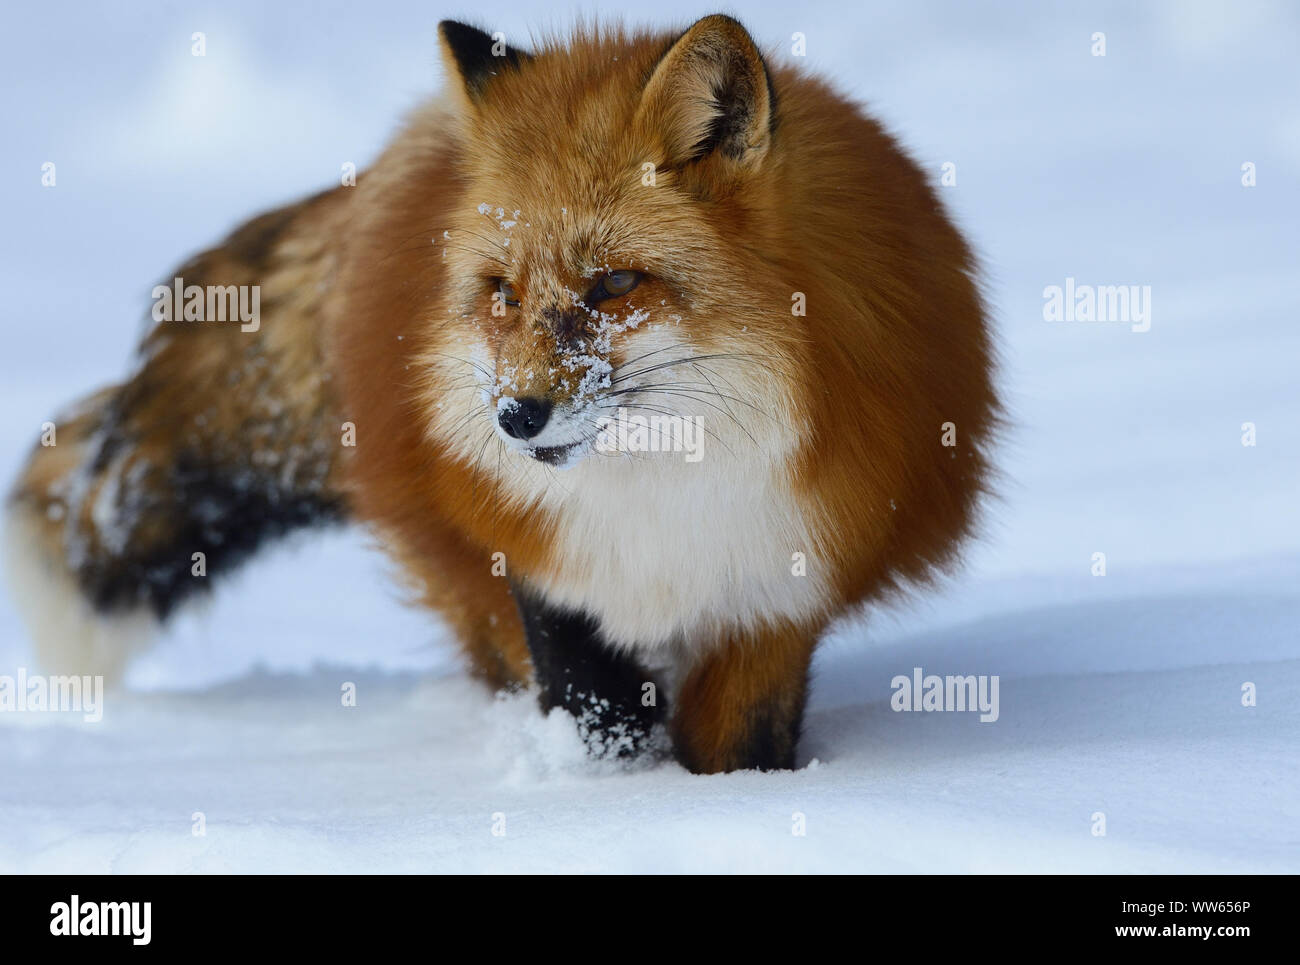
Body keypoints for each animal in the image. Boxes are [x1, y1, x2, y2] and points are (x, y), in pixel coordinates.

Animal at [5, 16, 997, 773]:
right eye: (504, 294)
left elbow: (740, 752)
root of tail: (400, 157)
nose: (516, 418)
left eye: (614, 285)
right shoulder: (541, 569)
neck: (670, 495)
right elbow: (598, 714)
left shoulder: (774, 595)